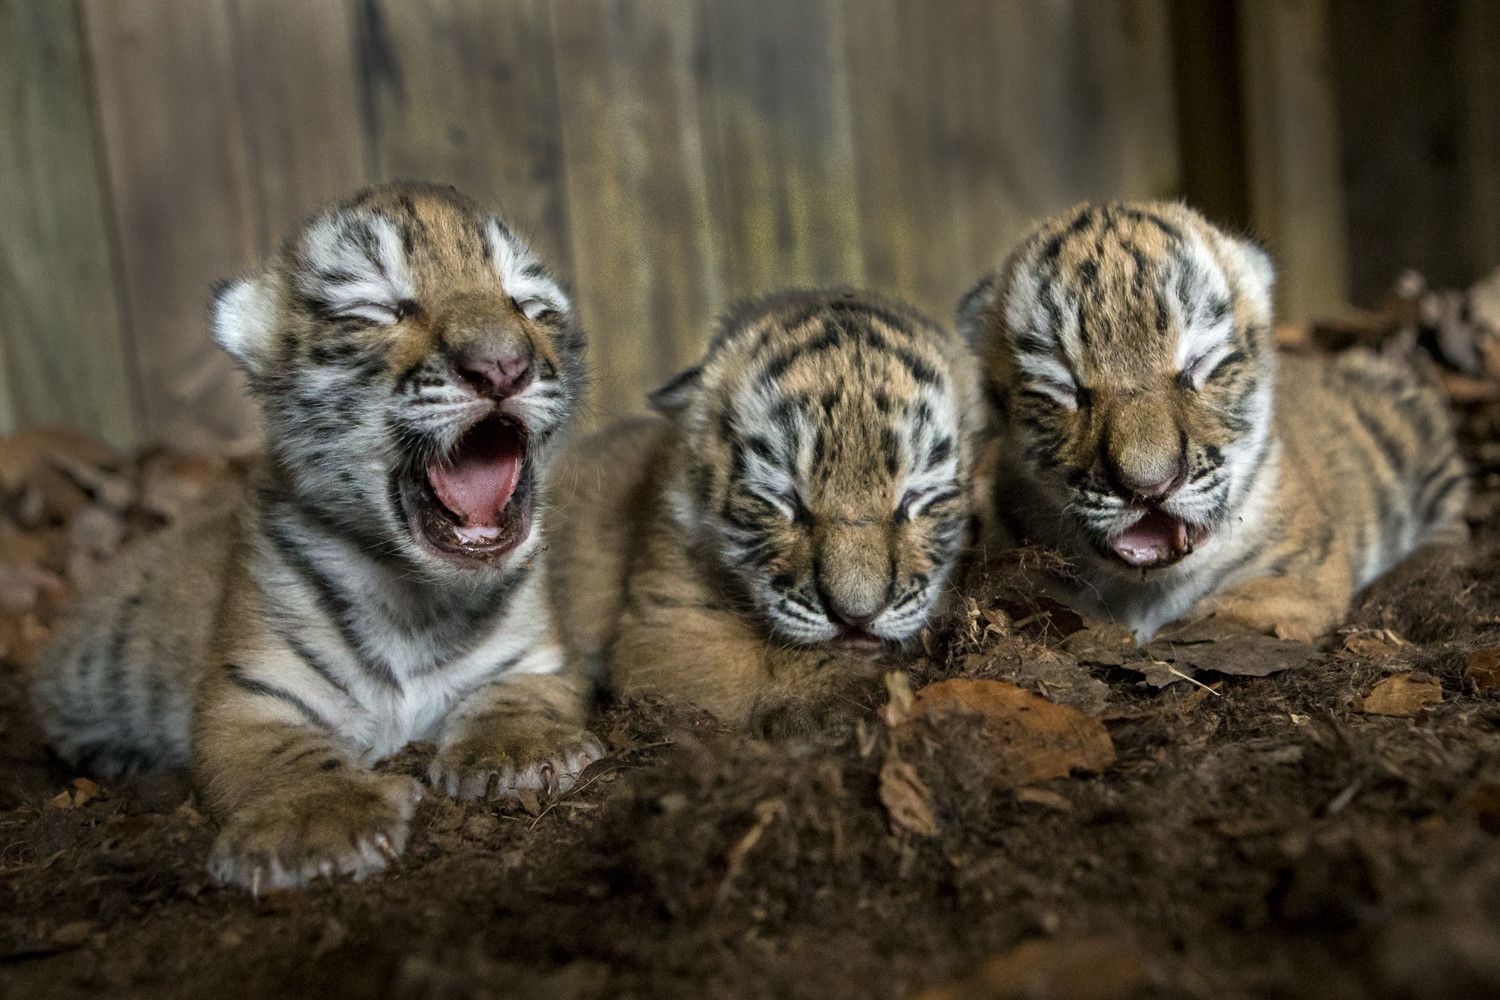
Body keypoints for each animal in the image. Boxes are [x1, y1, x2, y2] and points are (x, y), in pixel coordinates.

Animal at [31, 183, 603, 892]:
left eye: (527, 304)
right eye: (377, 310)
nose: (502, 366)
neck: (416, 597)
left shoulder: (536, 658)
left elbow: (520, 699)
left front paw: (522, 751)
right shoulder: (250, 692)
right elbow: (284, 756)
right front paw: (318, 822)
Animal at [958, 201, 1469, 643]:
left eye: (1199, 364)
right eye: (1062, 385)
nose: (1150, 487)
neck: (1142, 589)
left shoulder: (1298, 572)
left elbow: (1222, 614)